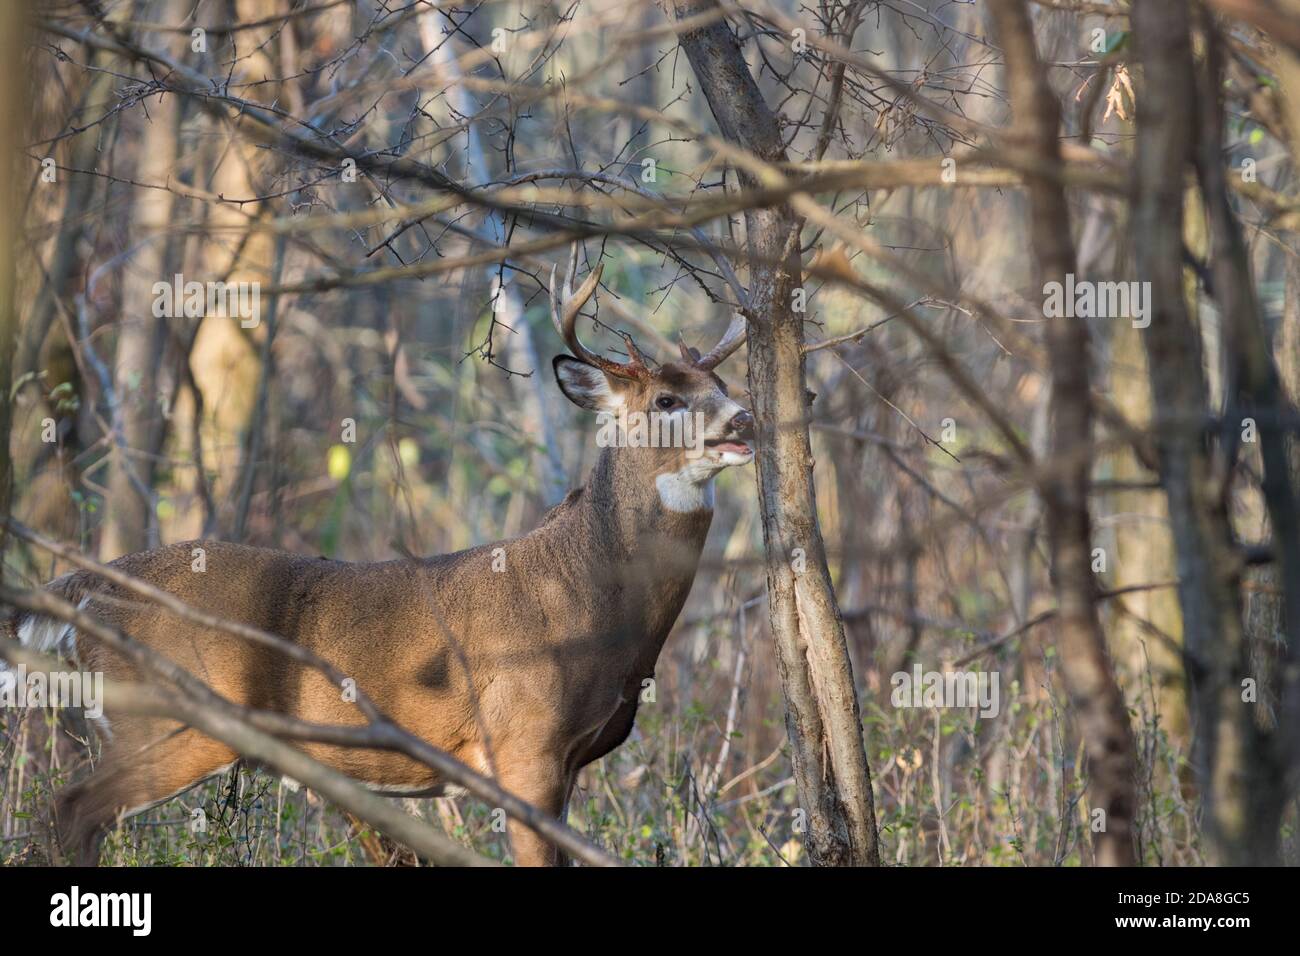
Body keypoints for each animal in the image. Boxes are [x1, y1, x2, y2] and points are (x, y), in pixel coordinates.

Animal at [8, 251, 755, 866]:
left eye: (723, 387)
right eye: (666, 399)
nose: (745, 419)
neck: (593, 600)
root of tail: (89, 588)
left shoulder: (568, 764)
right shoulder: (524, 745)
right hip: (169, 715)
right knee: (71, 809)